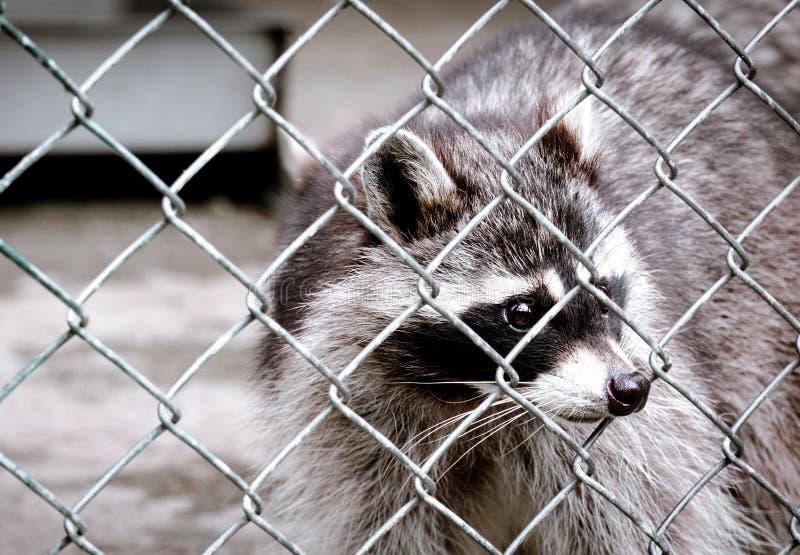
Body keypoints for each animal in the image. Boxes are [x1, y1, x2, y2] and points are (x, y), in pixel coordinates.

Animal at [255, 3, 800, 554]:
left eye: (604, 290)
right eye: (521, 313)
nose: (630, 388)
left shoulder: (637, 441)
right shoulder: (346, 424)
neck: (472, 399)